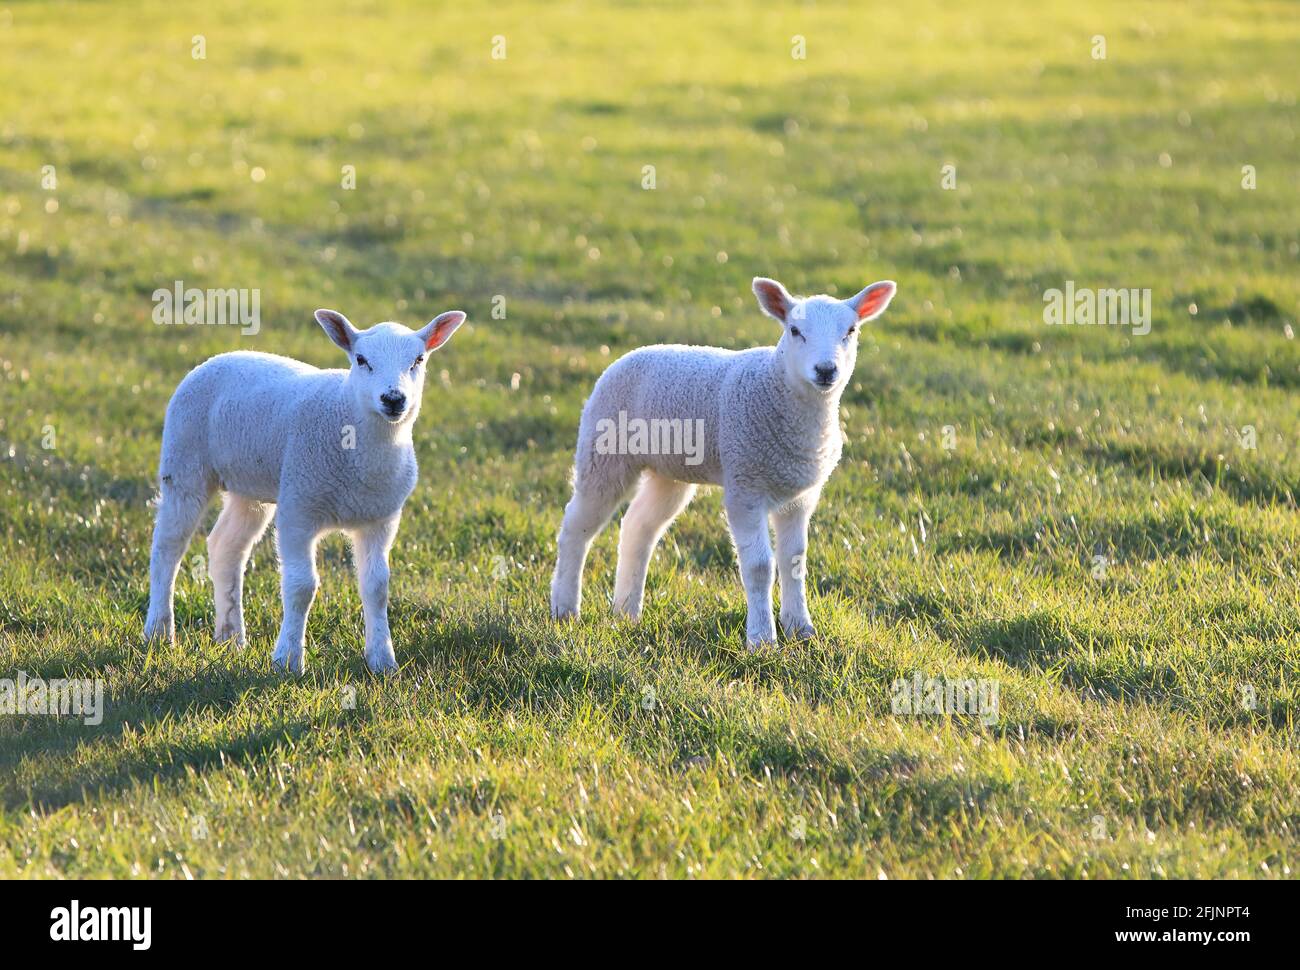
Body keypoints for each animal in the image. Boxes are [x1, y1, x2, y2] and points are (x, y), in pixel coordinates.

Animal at [143, 307, 467, 674]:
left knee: (226, 547)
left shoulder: (381, 519)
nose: (394, 399)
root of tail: (221, 356)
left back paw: (231, 636)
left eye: (419, 359)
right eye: (361, 360)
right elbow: (301, 586)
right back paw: (159, 631)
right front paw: (287, 660)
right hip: (185, 464)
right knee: (168, 547)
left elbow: (377, 586)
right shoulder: (299, 509)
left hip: (251, 487)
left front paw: (383, 660)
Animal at [550, 276, 897, 647]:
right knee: (576, 526)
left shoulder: (800, 495)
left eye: (851, 330)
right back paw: (565, 609)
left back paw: (626, 611)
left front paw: (800, 629)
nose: (826, 370)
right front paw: (762, 640)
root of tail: (627, 356)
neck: (778, 392)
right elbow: (760, 566)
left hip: (668, 471)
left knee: (638, 527)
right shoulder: (745, 485)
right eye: (794, 330)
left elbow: (795, 560)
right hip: (603, 453)